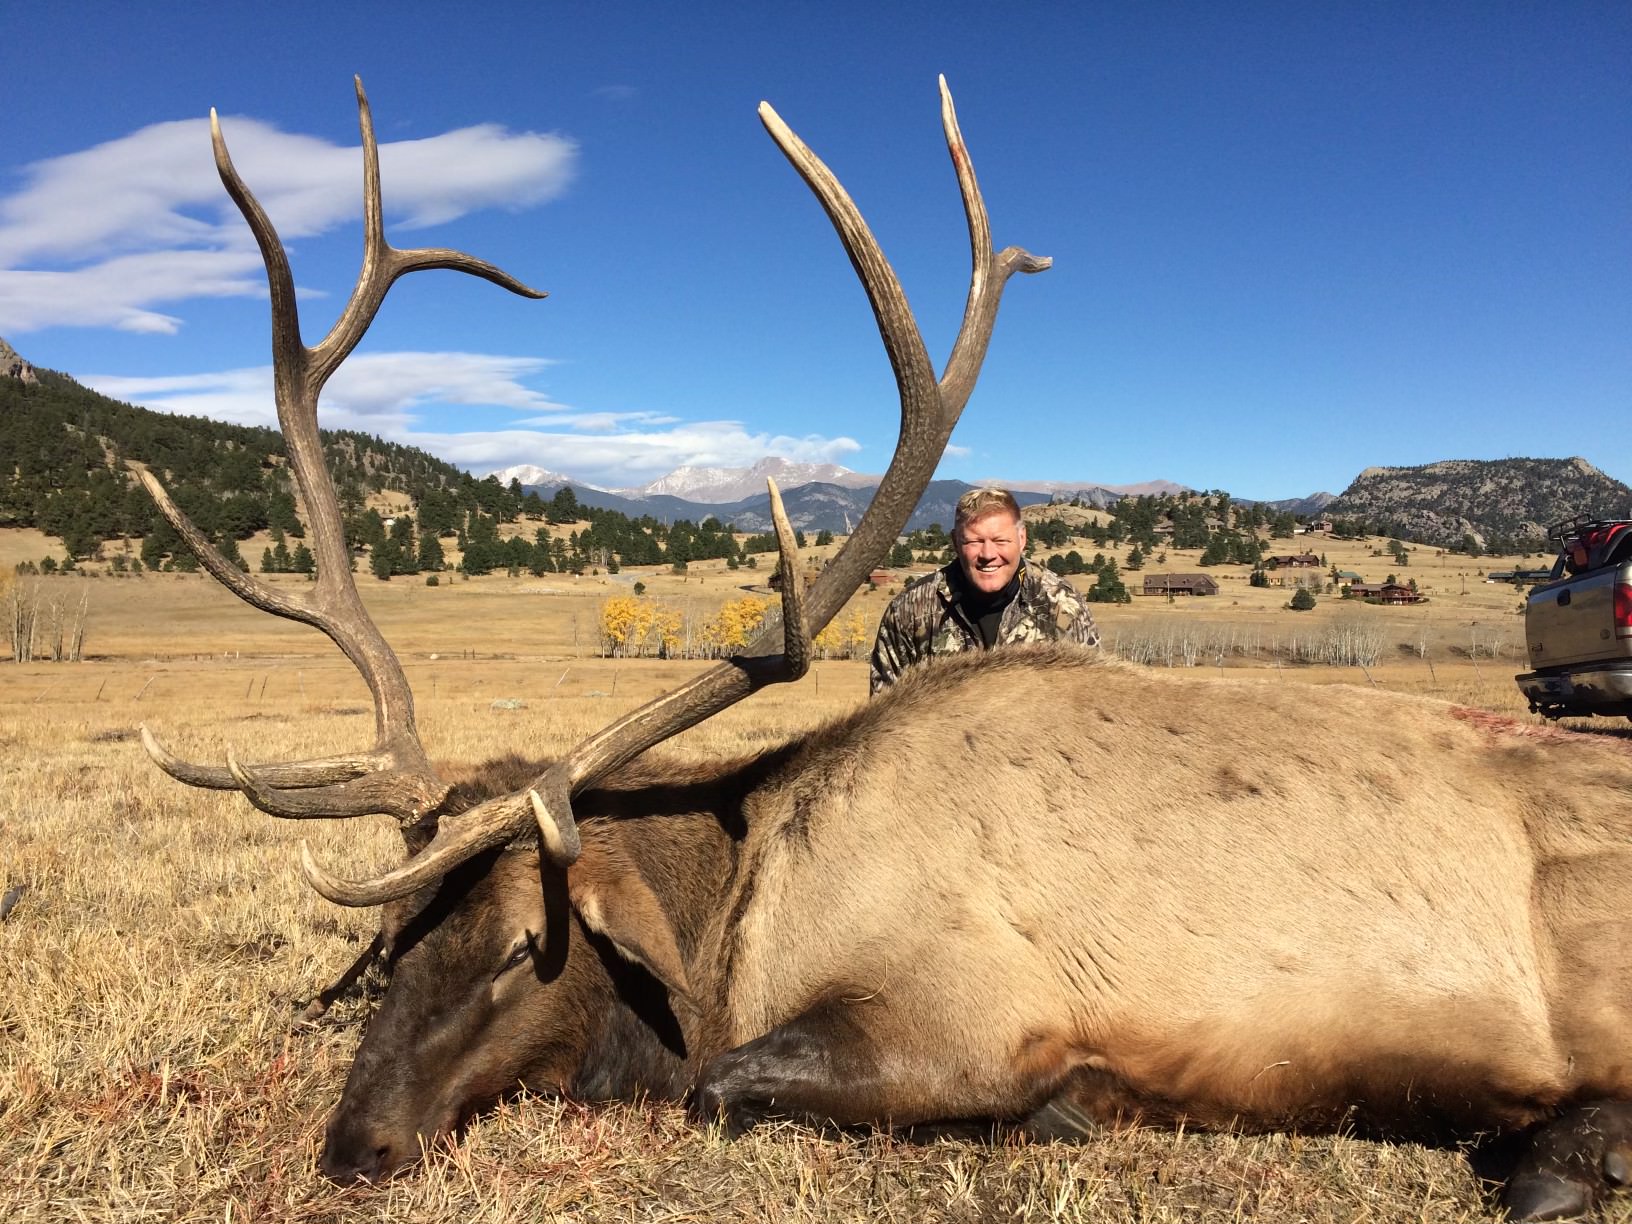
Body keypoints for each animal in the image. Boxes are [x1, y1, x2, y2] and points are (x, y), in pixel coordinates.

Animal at [138, 79, 1632, 1223]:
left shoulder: (967, 1009)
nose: (355, 1147)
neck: (734, 919)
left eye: (523, 947)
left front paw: (1069, 1114)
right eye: (394, 938)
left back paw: (1550, 1157)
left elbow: (726, 1086)